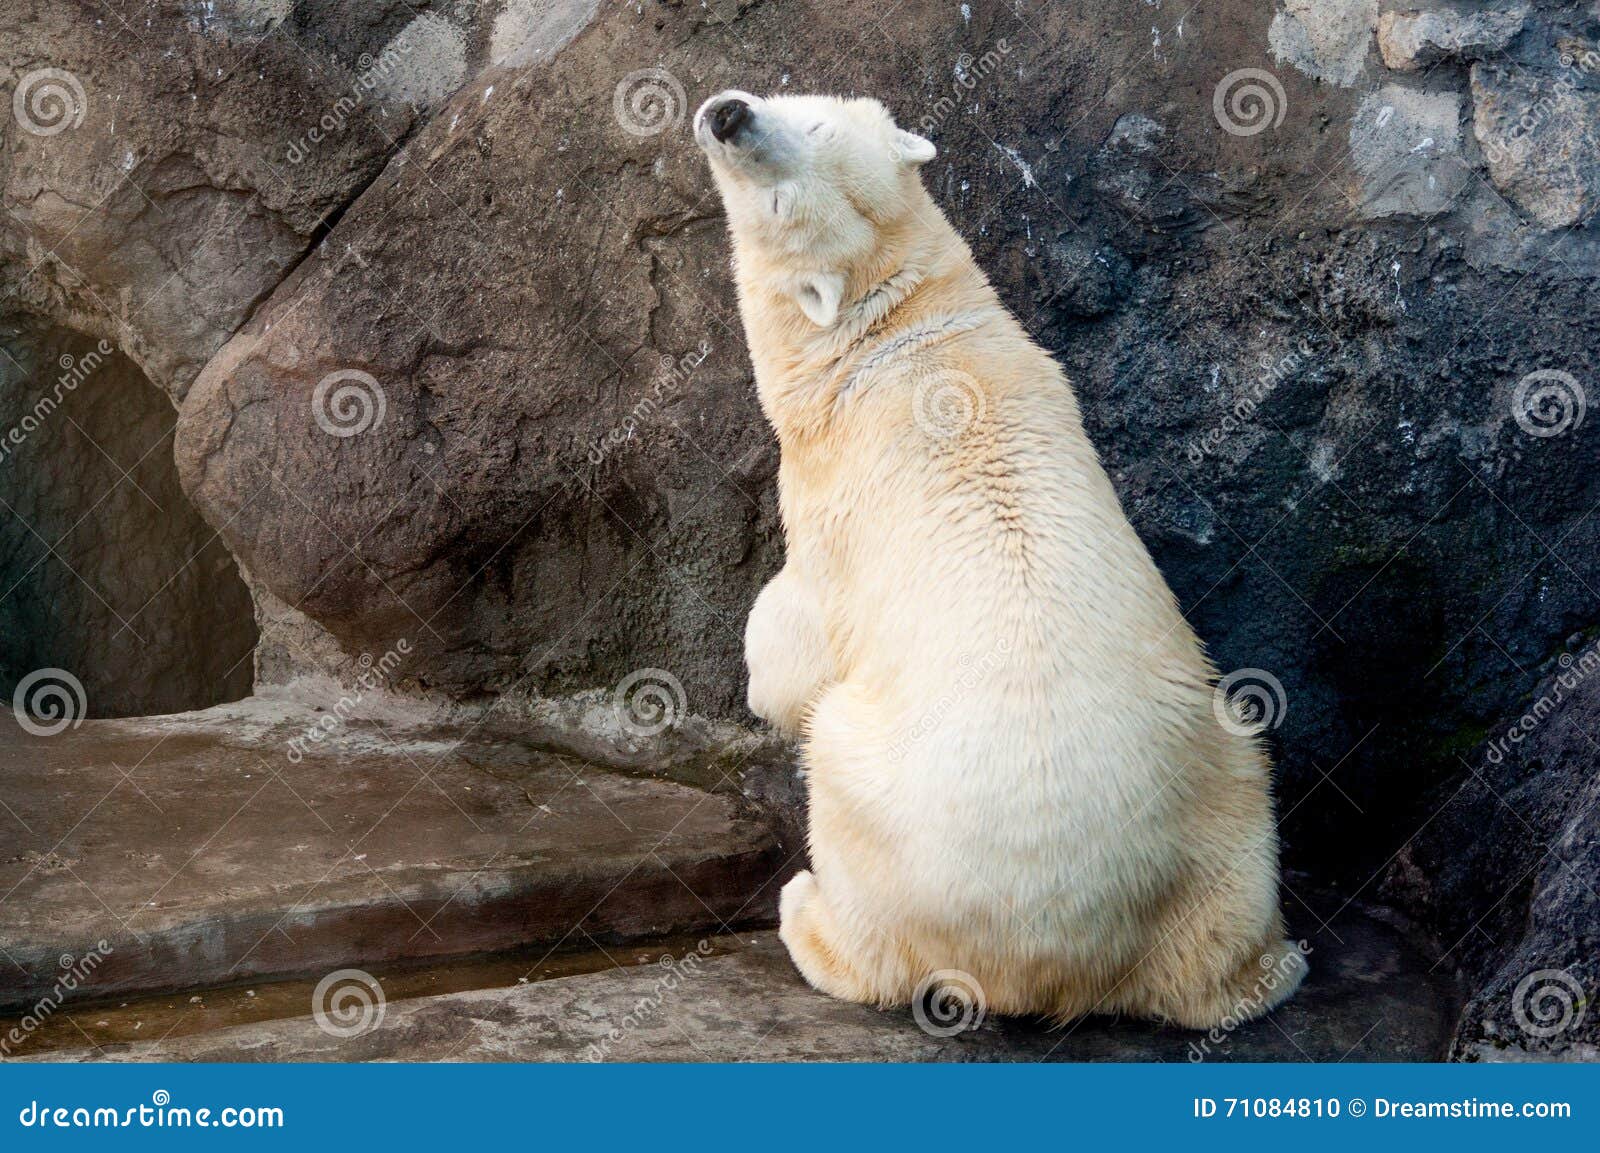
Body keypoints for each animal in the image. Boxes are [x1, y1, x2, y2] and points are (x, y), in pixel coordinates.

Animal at [693, 90, 1306, 1029]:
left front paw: (760, 680)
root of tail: (1069, 951)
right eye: (808, 116)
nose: (730, 116)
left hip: (888, 820)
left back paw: (806, 913)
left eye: (780, 198)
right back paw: (1275, 967)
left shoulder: (829, 499)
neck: (897, 335)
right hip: (1223, 799)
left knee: (847, 821)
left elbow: (792, 640)